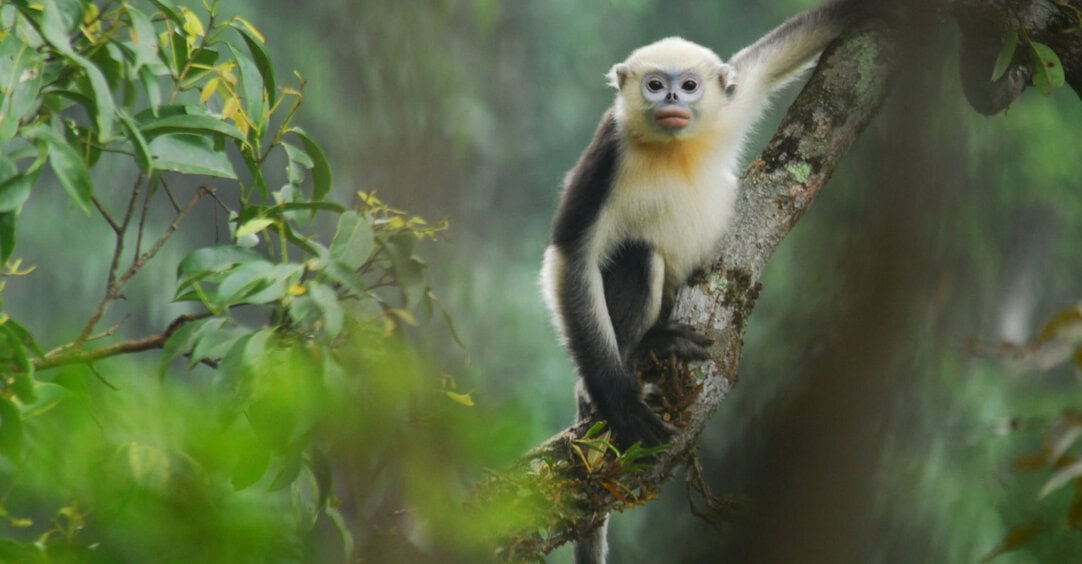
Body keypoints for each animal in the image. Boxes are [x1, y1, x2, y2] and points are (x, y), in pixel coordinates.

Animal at [539, 2, 858, 560]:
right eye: (654, 85)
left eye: (688, 86)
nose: (670, 99)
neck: (671, 149)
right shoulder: (607, 150)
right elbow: (570, 256)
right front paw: (619, 404)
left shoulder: (727, 105)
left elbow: (780, 52)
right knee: (637, 256)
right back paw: (633, 359)